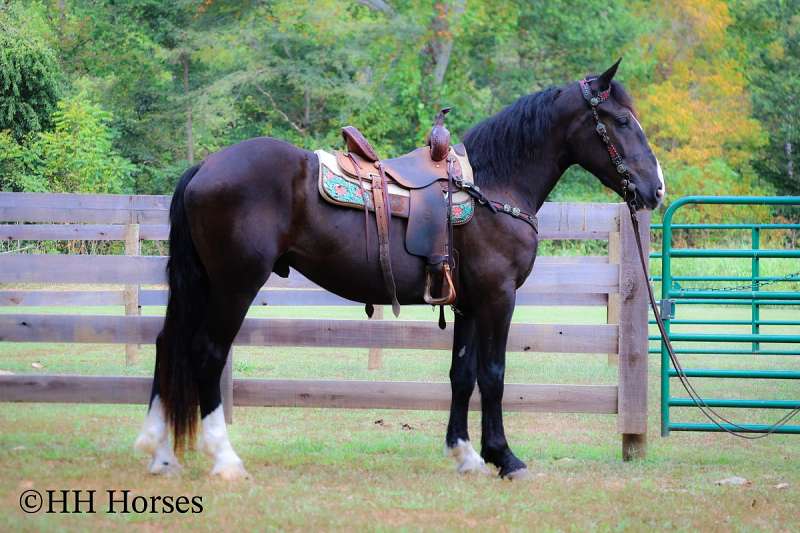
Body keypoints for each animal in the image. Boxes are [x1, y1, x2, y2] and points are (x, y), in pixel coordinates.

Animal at [134, 60, 665, 480]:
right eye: (621, 121)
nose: (656, 188)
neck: (493, 187)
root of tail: (204, 168)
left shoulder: (468, 304)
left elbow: (462, 374)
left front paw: (466, 455)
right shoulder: (498, 297)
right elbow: (493, 374)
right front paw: (505, 458)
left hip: (202, 285)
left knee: (168, 344)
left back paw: (161, 455)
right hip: (234, 286)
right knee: (206, 352)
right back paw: (225, 460)